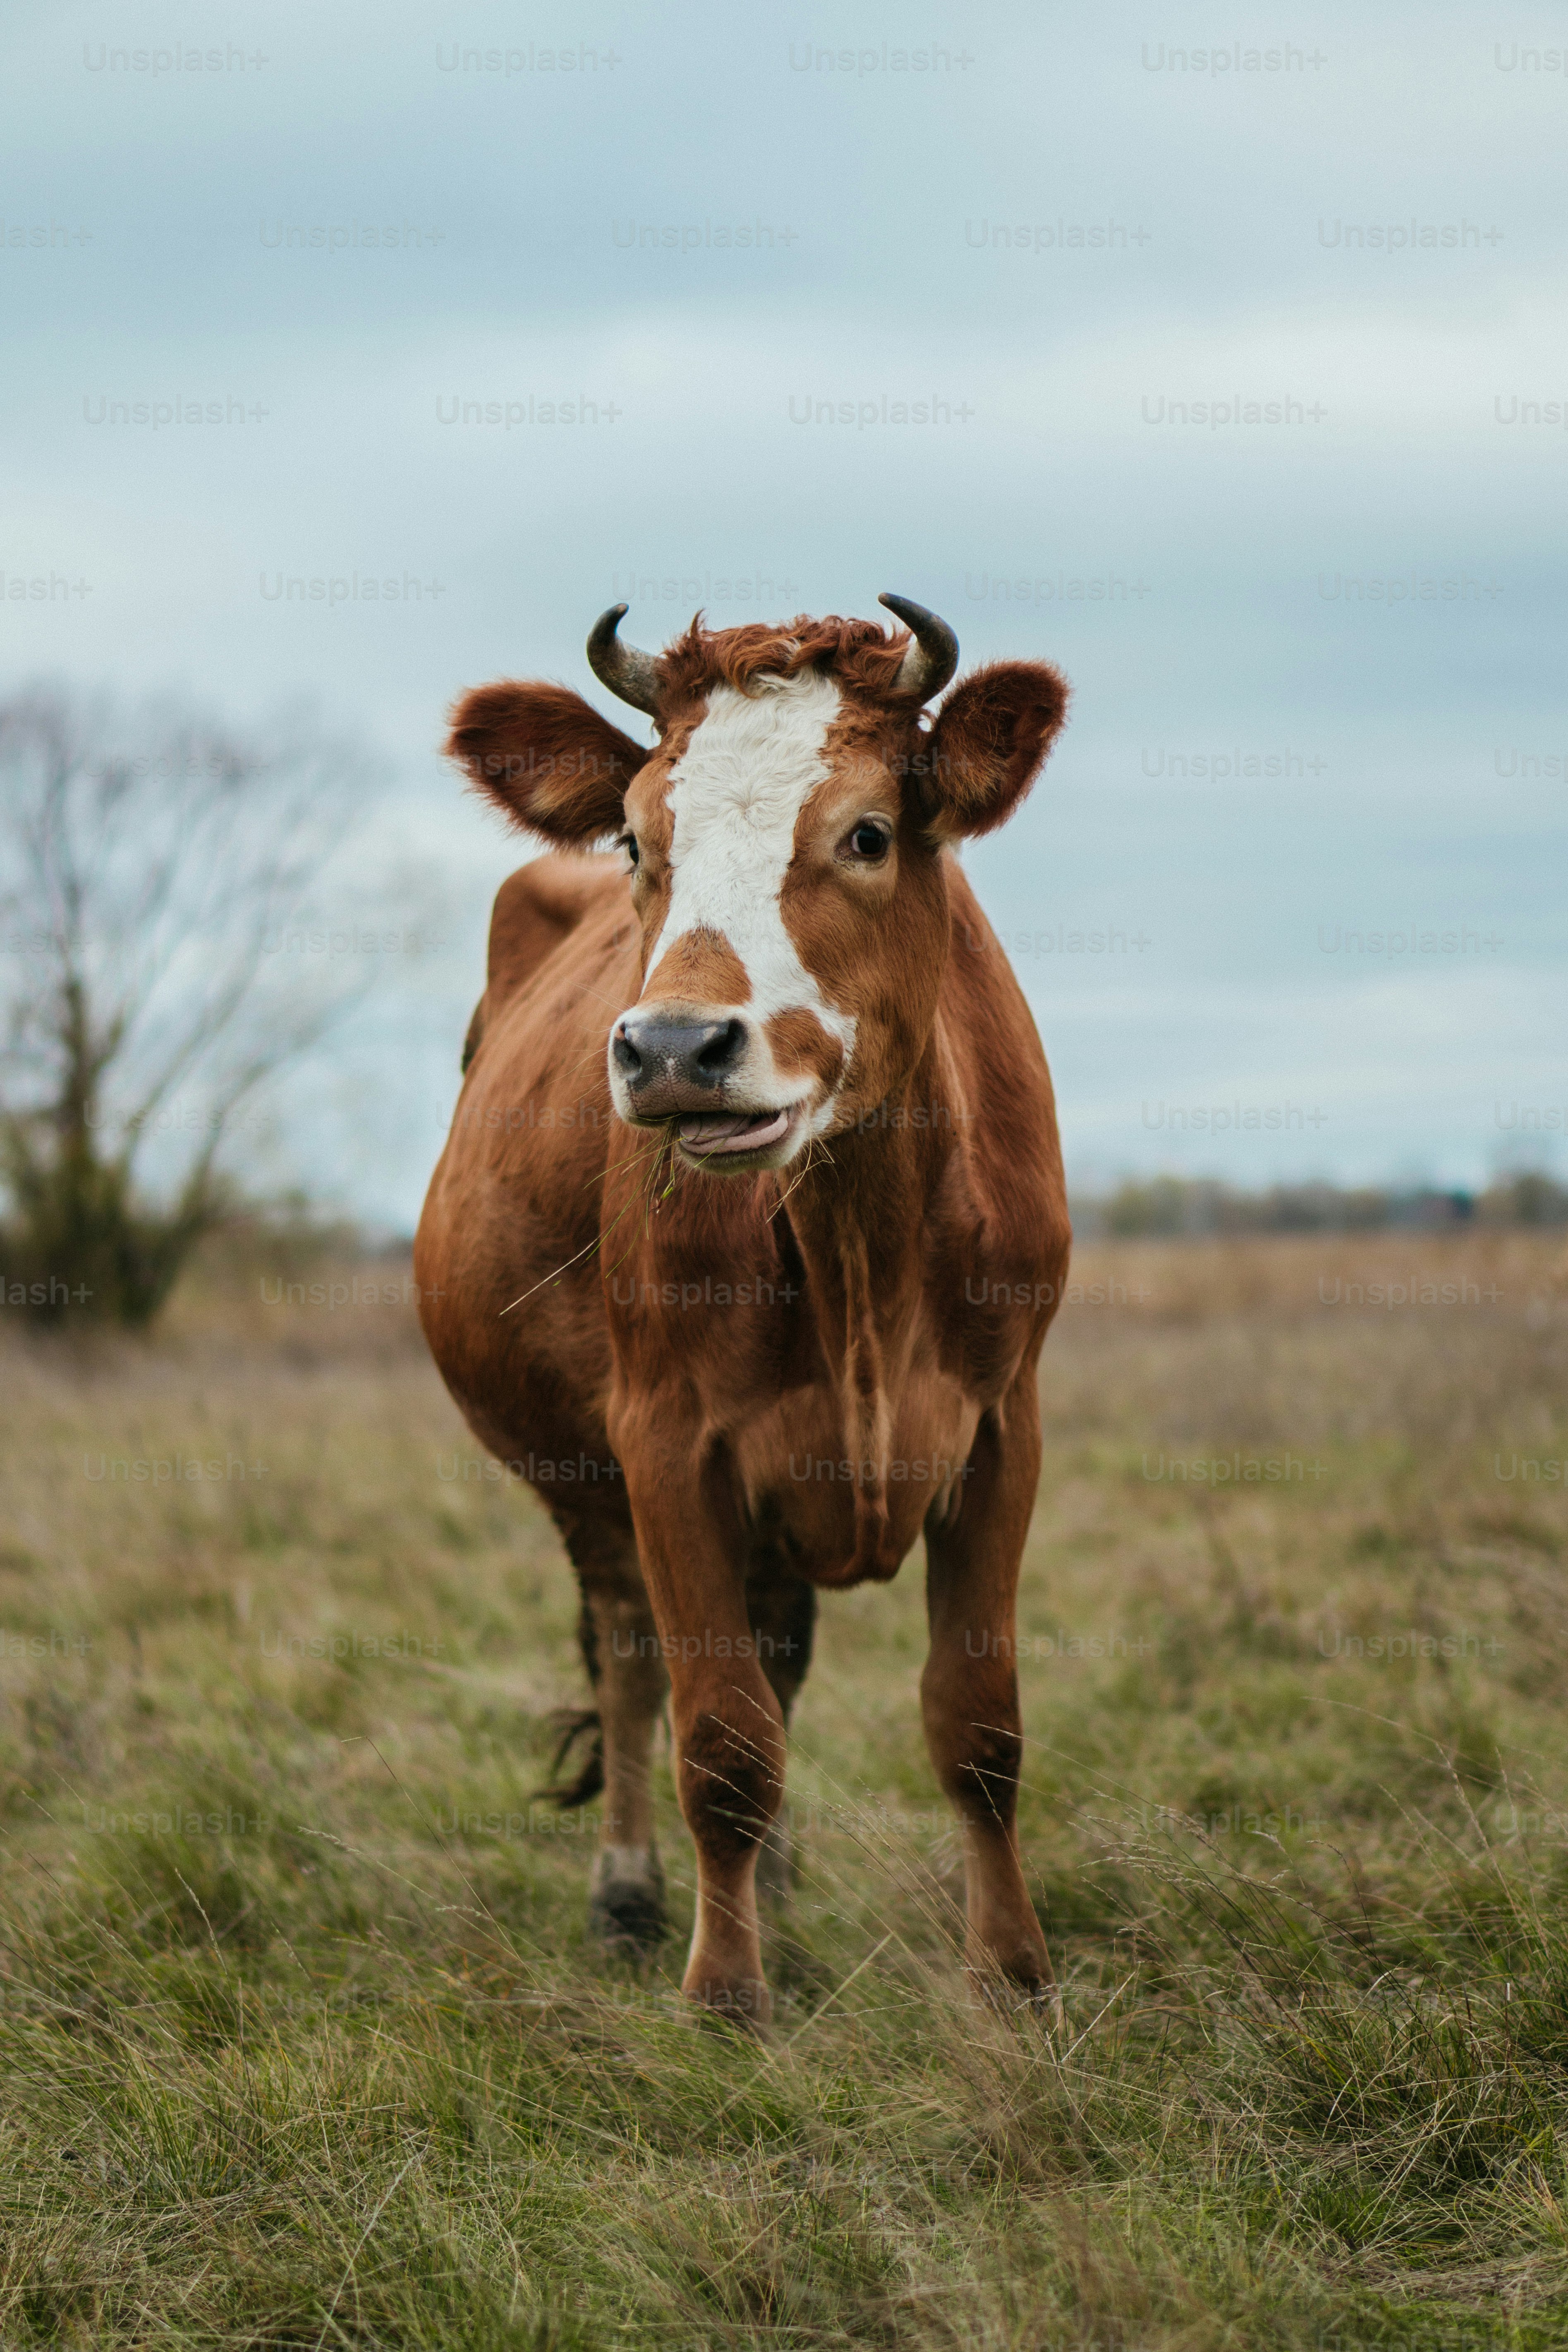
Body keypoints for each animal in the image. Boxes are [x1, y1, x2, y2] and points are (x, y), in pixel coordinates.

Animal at [415, 597, 1071, 2026]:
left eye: (867, 832)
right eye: (634, 837)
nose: (672, 1047)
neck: (858, 1247)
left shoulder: (1004, 1423)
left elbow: (979, 1721)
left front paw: (1011, 1970)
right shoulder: (668, 1441)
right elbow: (715, 1735)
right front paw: (725, 1992)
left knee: (775, 1661)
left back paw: (768, 1879)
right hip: (583, 1479)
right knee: (631, 1657)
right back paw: (632, 1891)